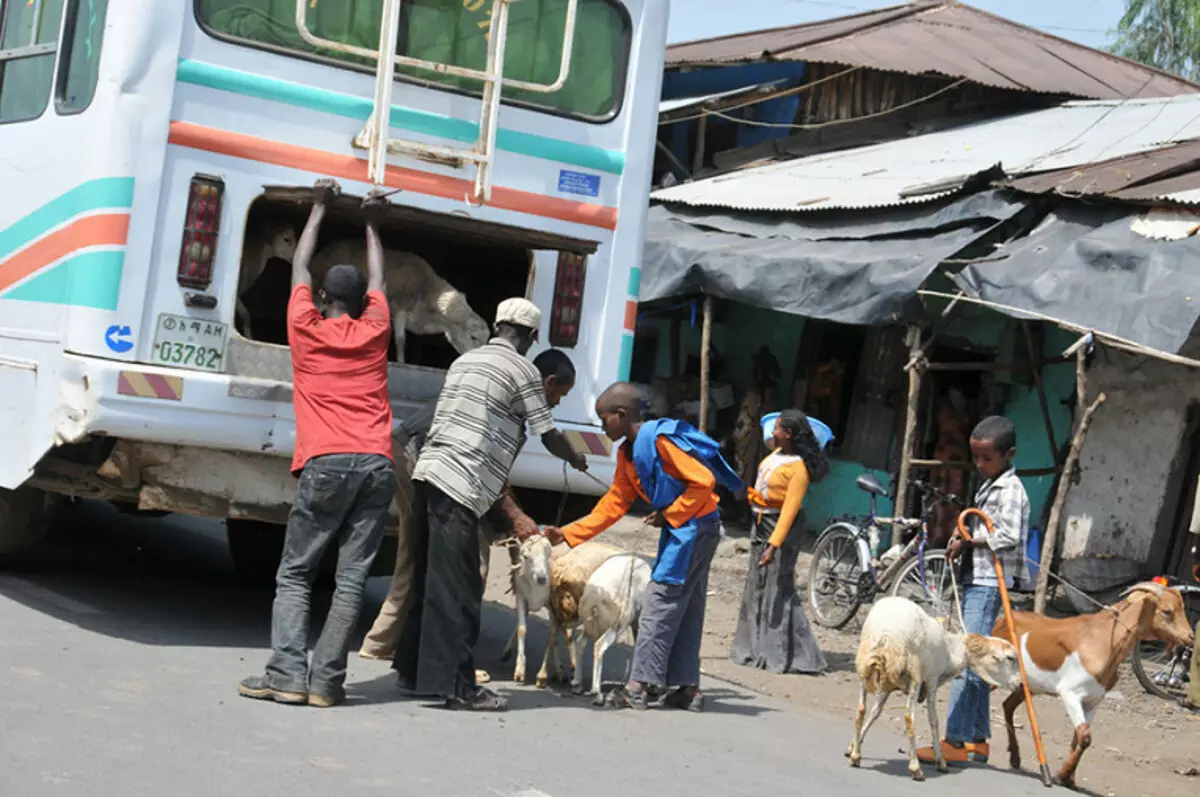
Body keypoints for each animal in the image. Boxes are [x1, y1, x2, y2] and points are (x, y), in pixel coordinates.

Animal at [568, 554, 648, 705]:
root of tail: (595, 595)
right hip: (617, 624)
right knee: (599, 646)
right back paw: (597, 693)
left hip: (591, 623)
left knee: (581, 642)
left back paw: (578, 685)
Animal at [844, 597, 1022, 777]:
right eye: (1011, 658)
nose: (1020, 684)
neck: (952, 653)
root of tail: (886, 633)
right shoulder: (931, 680)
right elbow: (934, 720)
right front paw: (940, 760)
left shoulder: (888, 684)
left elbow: (875, 712)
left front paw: (853, 747)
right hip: (914, 674)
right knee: (909, 717)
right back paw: (915, 767)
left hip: (865, 665)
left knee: (861, 709)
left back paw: (856, 757)